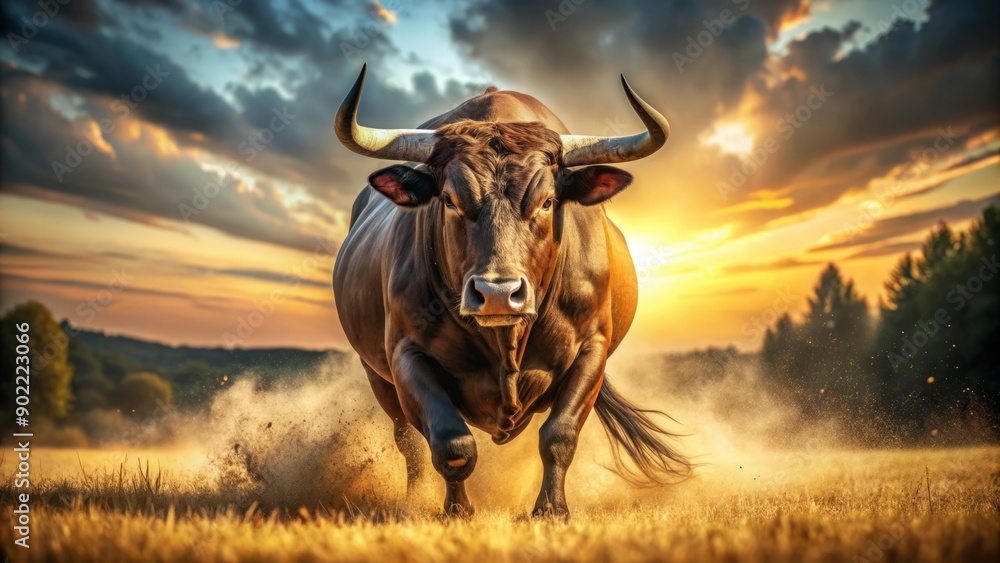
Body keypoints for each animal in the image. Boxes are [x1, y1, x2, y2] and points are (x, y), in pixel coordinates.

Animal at [332, 63, 689, 518]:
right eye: (448, 199)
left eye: (548, 201)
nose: (498, 293)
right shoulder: (404, 354)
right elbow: (451, 444)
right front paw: (457, 510)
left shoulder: (592, 349)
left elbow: (559, 436)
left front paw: (551, 509)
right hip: (374, 372)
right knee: (407, 441)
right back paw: (412, 500)